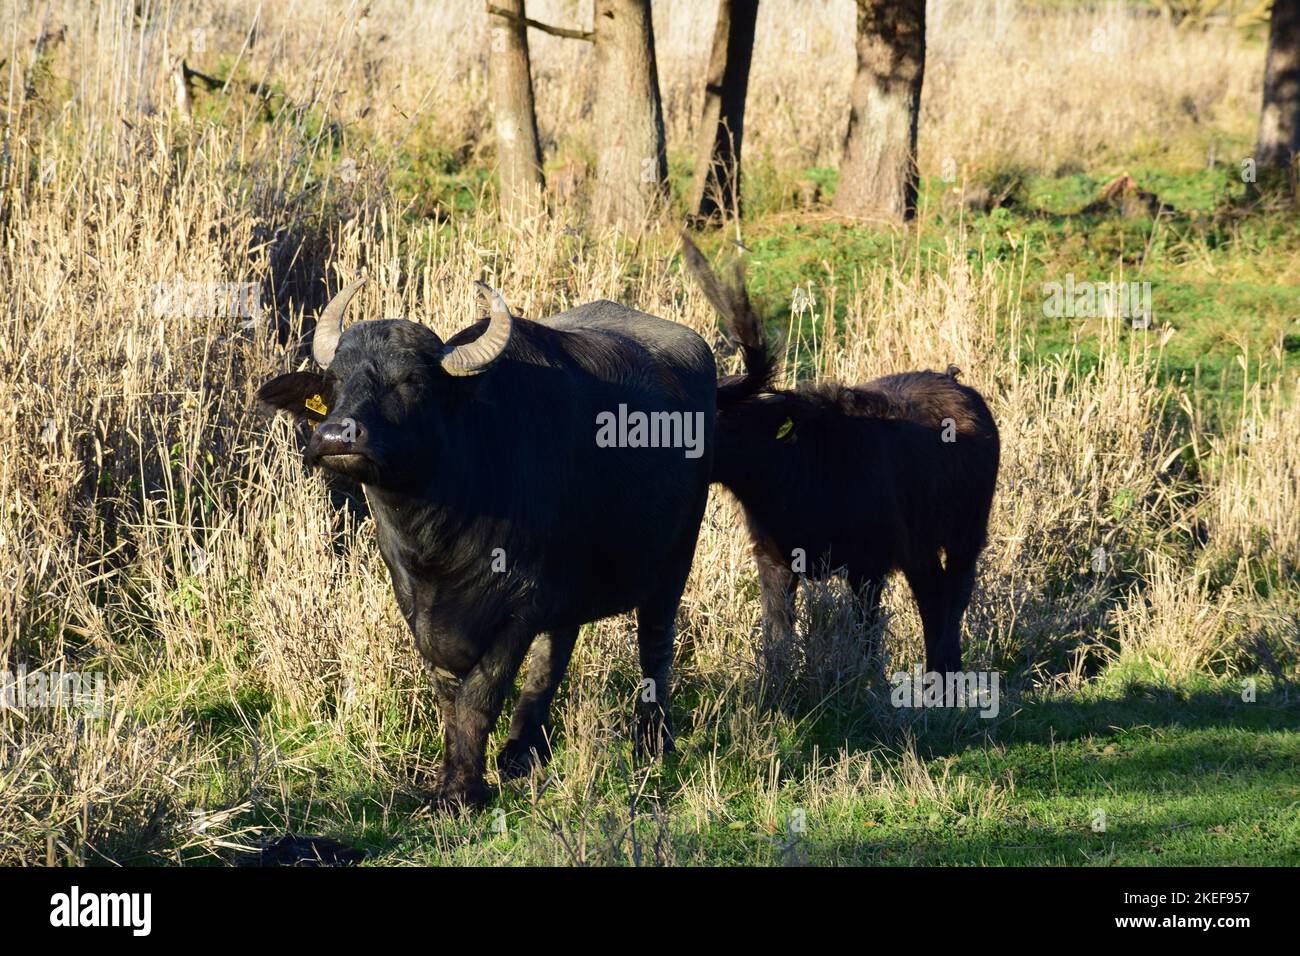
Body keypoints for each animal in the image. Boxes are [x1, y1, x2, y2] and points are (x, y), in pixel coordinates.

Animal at [256, 277, 715, 808]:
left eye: (410, 381)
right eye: (333, 383)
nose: (335, 437)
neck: (441, 535)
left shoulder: (519, 607)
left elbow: (480, 696)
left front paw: (462, 793)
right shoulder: (417, 609)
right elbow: (450, 702)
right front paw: (451, 780)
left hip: (675, 561)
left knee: (654, 644)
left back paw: (653, 742)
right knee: (555, 652)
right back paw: (522, 750)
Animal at [682, 237, 1000, 682]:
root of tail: (956, 382)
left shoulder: (869, 564)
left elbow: (867, 632)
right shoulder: (773, 559)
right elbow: (777, 633)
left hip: (964, 535)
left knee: (952, 595)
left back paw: (946, 672)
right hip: (920, 547)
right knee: (933, 595)